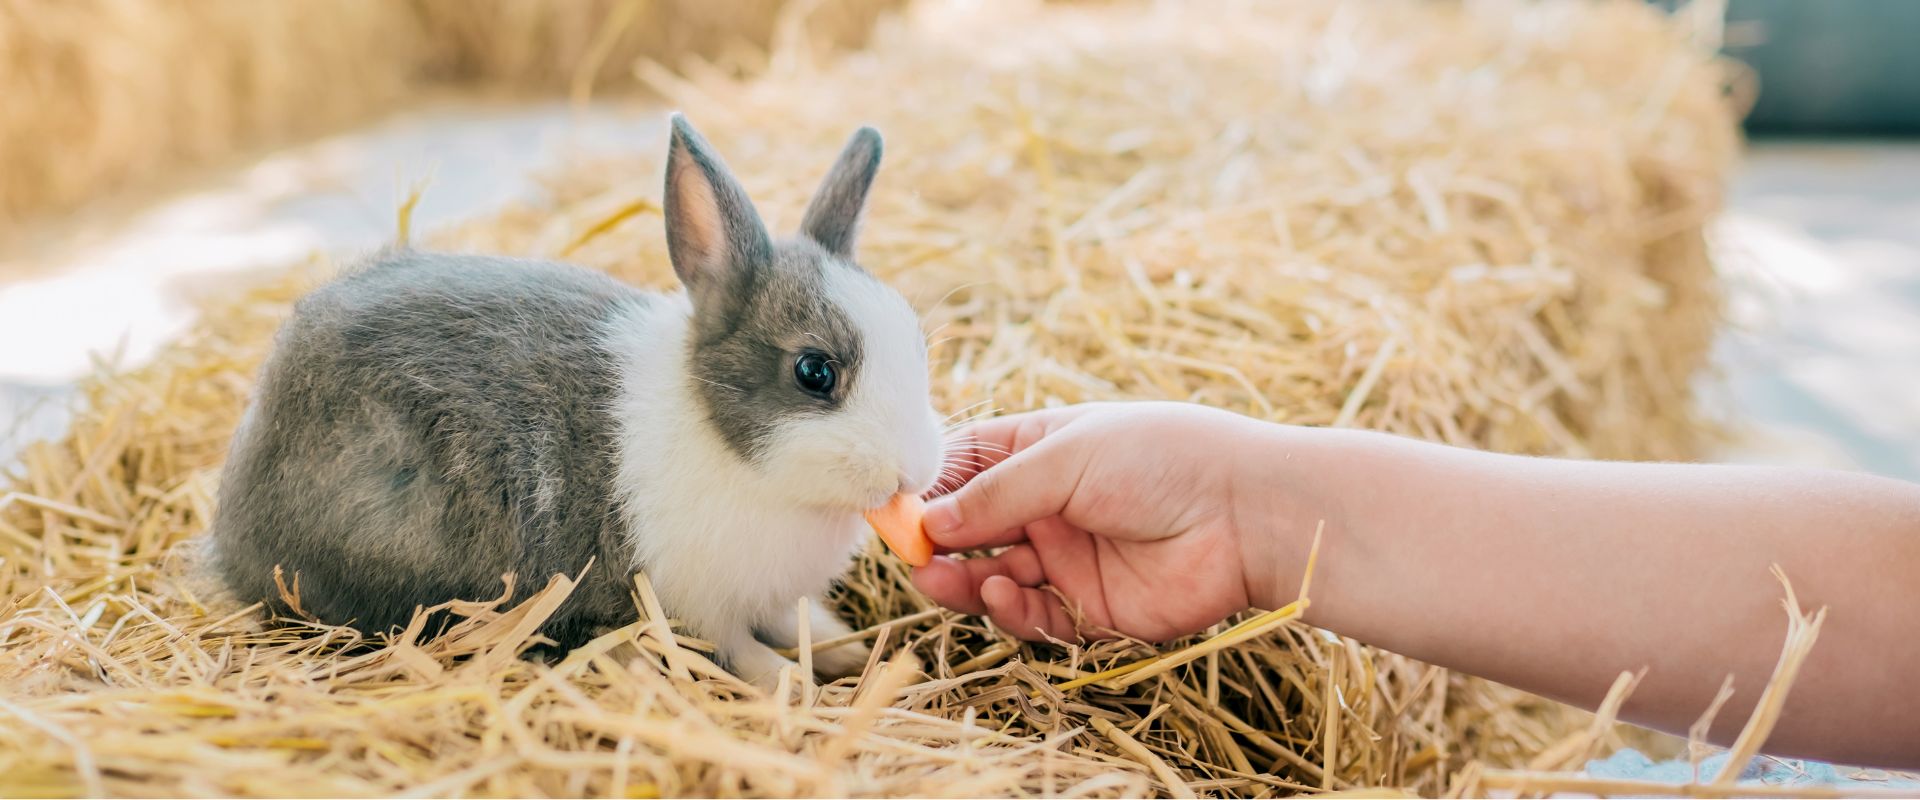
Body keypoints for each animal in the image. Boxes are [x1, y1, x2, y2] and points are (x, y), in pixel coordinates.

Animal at [209, 113, 946, 688]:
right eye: (814, 372)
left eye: (917, 343)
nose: (913, 472)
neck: (731, 450)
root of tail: (230, 534)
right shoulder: (699, 604)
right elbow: (743, 653)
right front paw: (793, 682)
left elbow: (803, 623)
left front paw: (851, 650)